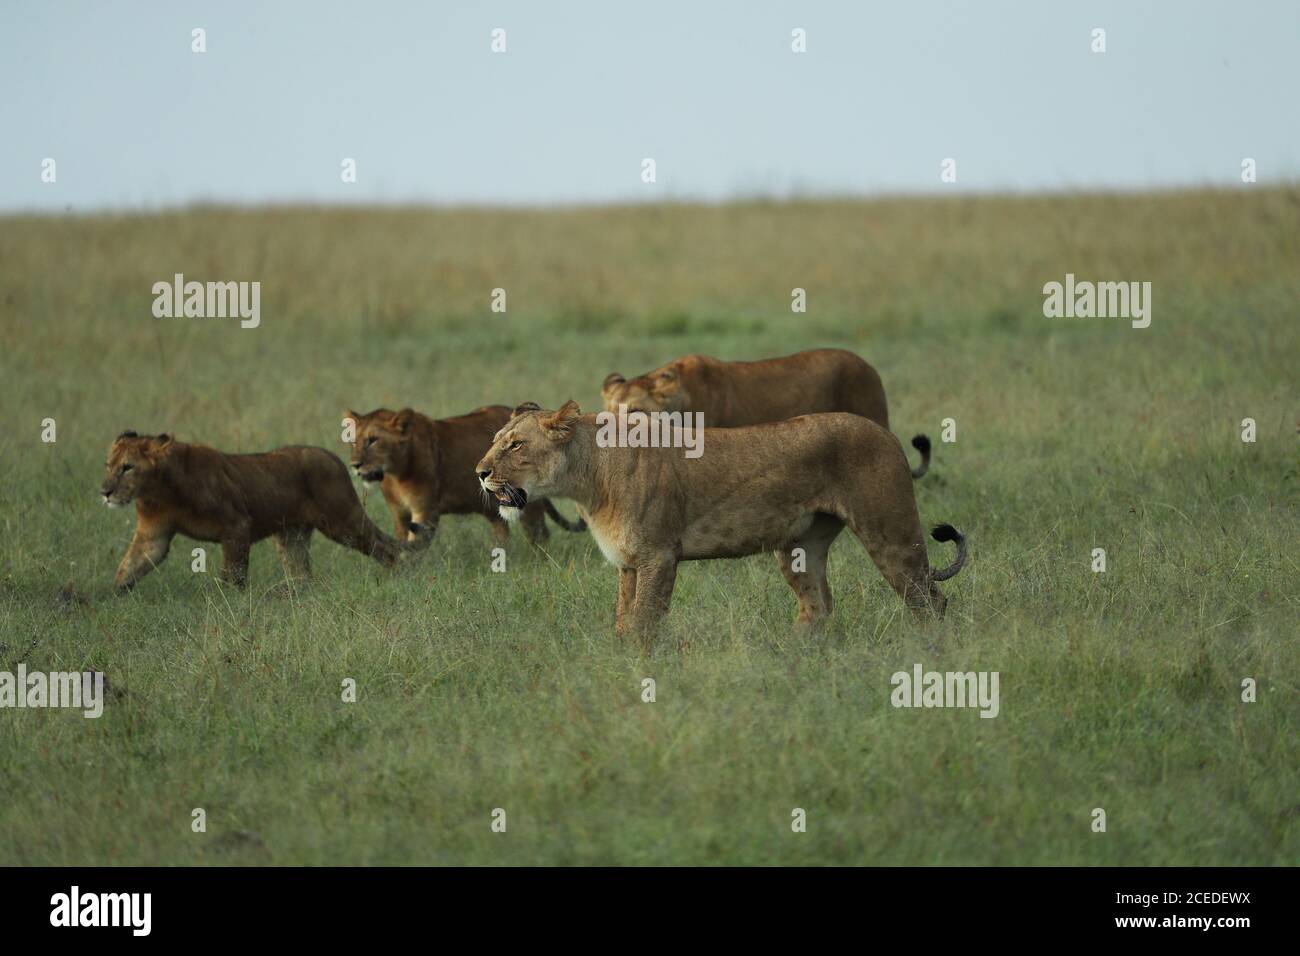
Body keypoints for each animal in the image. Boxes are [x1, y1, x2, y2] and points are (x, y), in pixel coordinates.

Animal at [101, 431, 412, 591]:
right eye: (108, 465)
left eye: (127, 467)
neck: (159, 490)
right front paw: (111, 600)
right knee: (302, 573)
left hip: (342, 522)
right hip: (291, 536)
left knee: (385, 547)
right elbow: (127, 569)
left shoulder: (237, 526)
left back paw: (399, 575)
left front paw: (231, 601)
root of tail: (333, 457)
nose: (105, 492)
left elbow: (234, 574)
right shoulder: (152, 536)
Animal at [345, 405, 586, 546]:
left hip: (528, 504)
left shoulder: (426, 511)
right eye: (354, 441)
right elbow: (401, 541)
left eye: (373, 440)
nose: (355, 465)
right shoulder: (399, 514)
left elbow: (415, 547)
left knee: (540, 534)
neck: (395, 474)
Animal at [475, 402, 967, 641]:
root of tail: (886, 433)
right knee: (818, 607)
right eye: (496, 440)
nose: (479, 472)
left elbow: (643, 623)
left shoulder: (658, 556)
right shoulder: (628, 564)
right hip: (800, 548)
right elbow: (622, 621)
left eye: (516, 445)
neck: (588, 479)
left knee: (930, 601)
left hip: (891, 534)